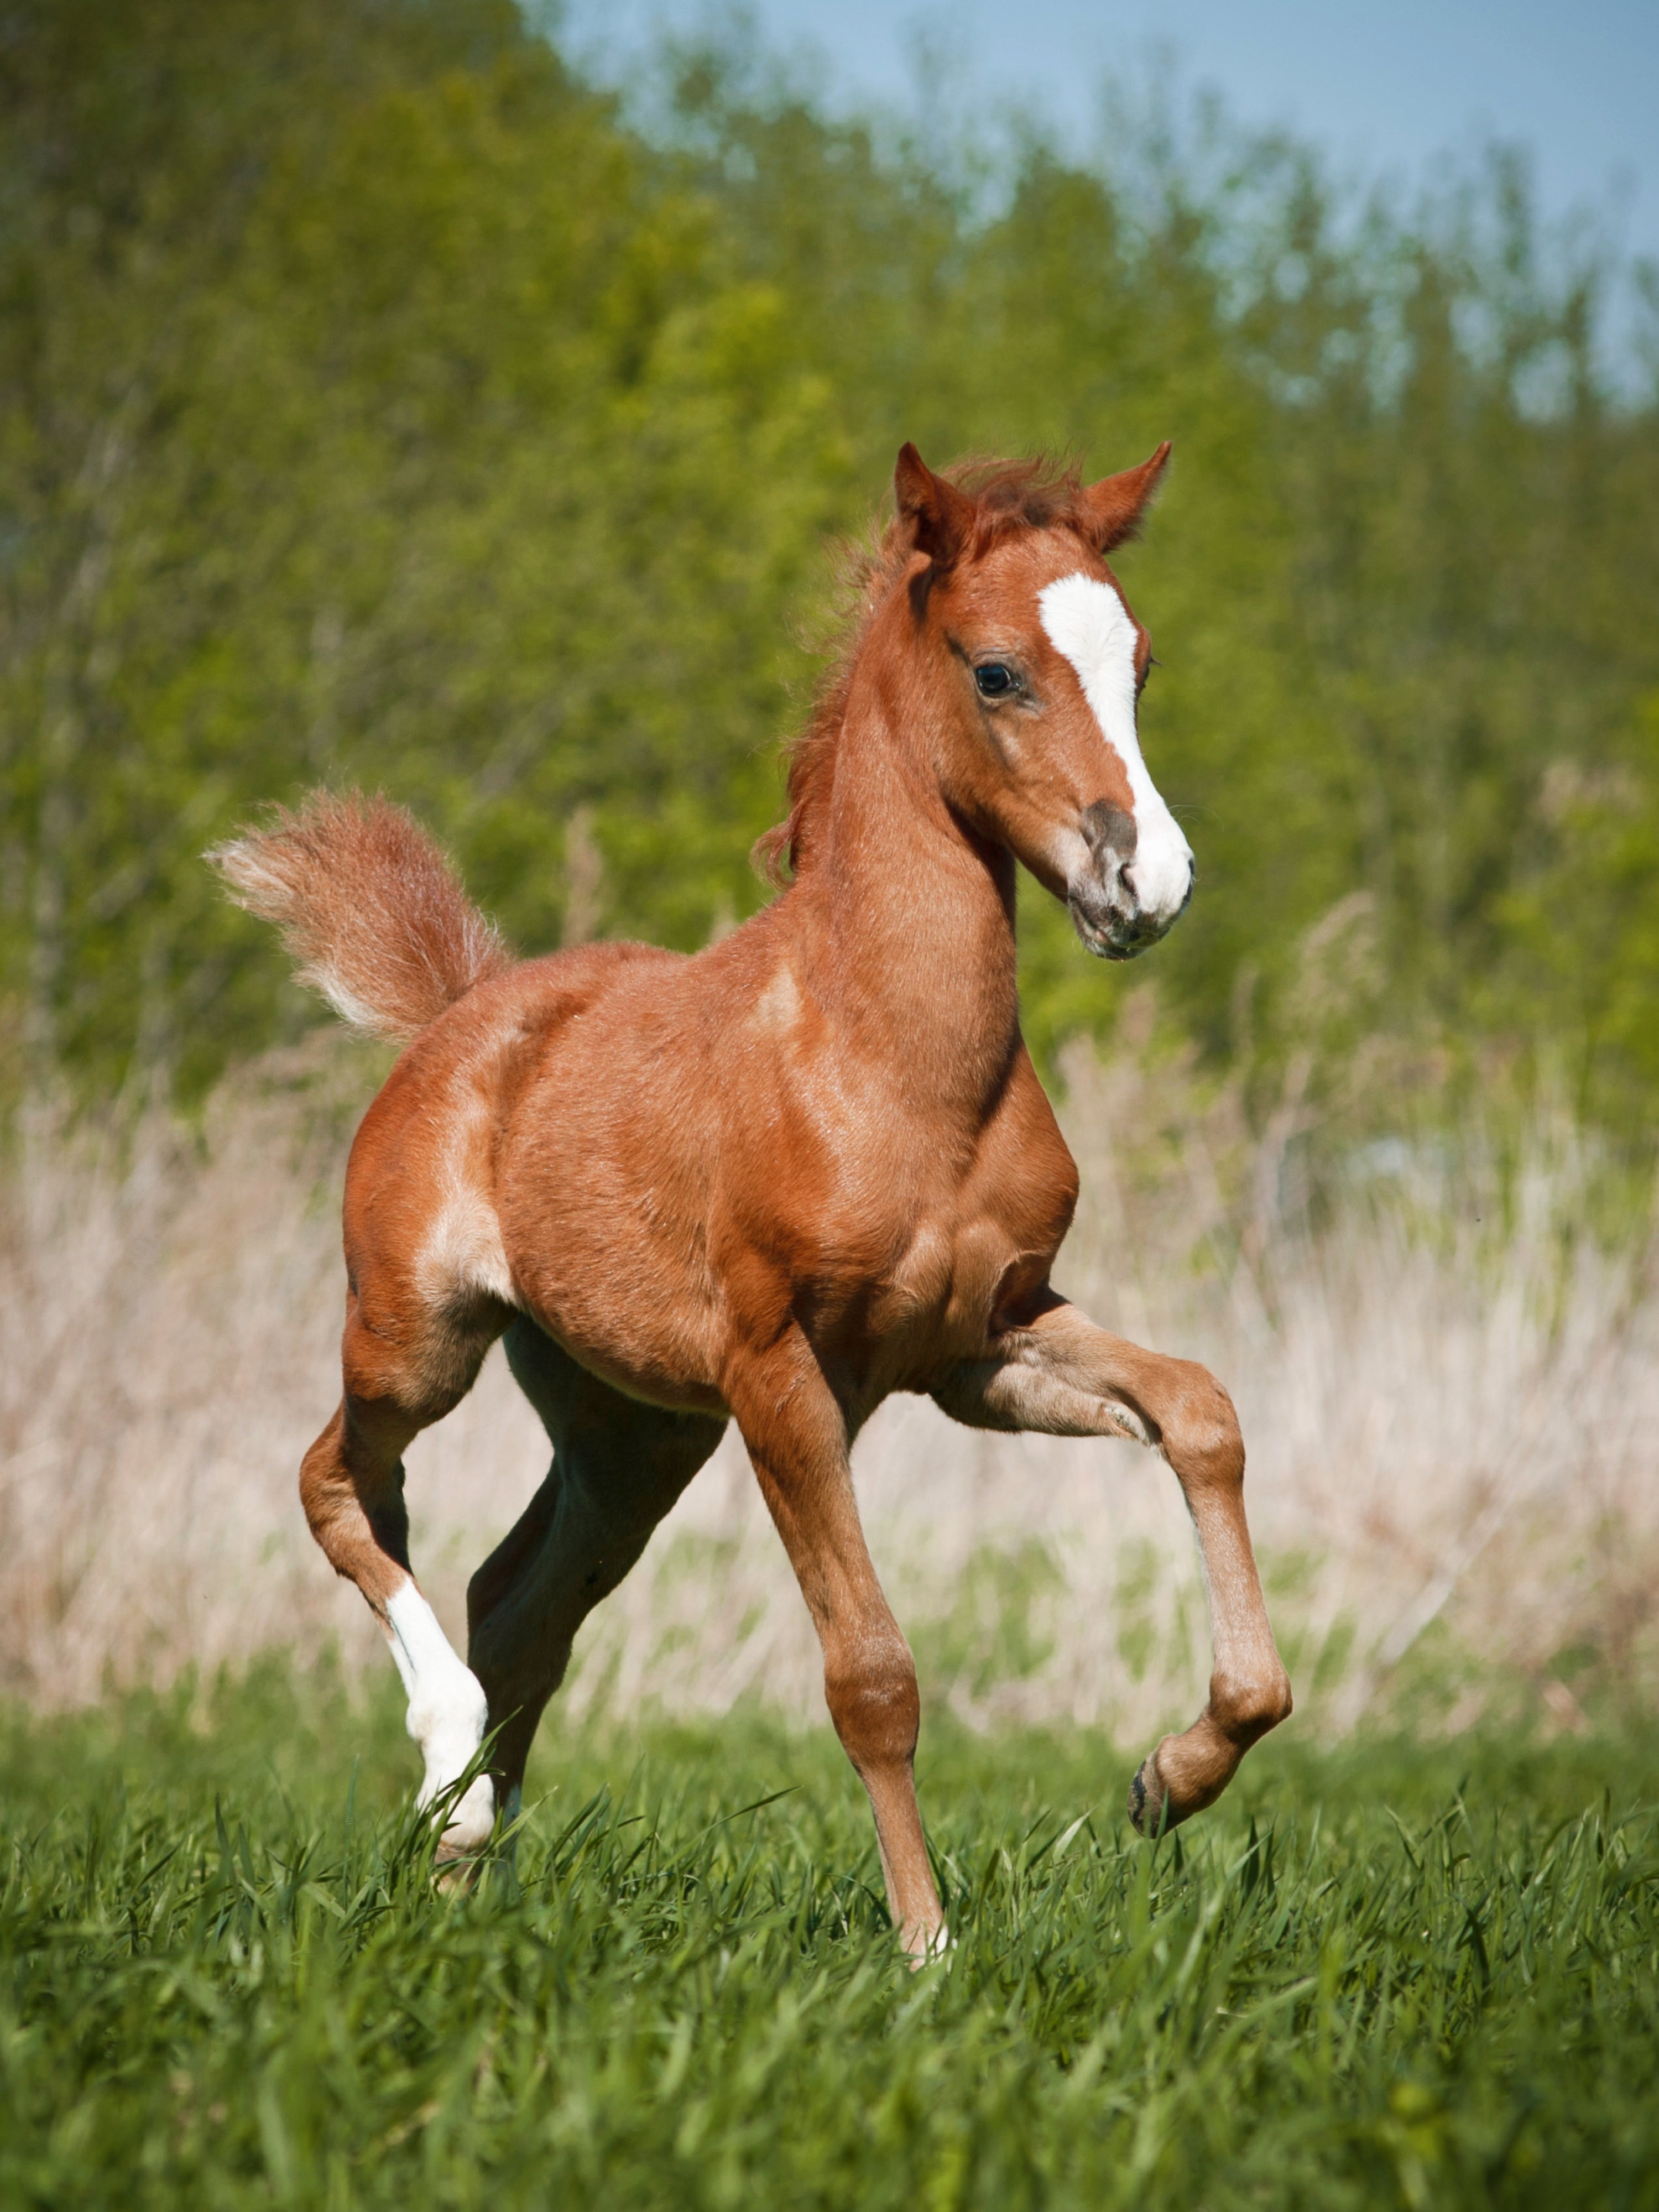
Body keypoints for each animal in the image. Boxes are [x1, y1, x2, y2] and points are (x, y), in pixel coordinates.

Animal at [210, 441, 1291, 1961]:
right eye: (998, 671)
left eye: (1138, 660)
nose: (1147, 882)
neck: (891, 1063)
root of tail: (460, 1011)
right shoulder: (782, 1370)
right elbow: (871, 1674)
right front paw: (926, 1948)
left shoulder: (979, 1342)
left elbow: (1199, 1411)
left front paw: (1169, 1776)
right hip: (418, 1337)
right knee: (342, 1483)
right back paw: (447, 1778)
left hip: (632, 1431)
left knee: (517, 1600)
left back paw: (470, 1858)